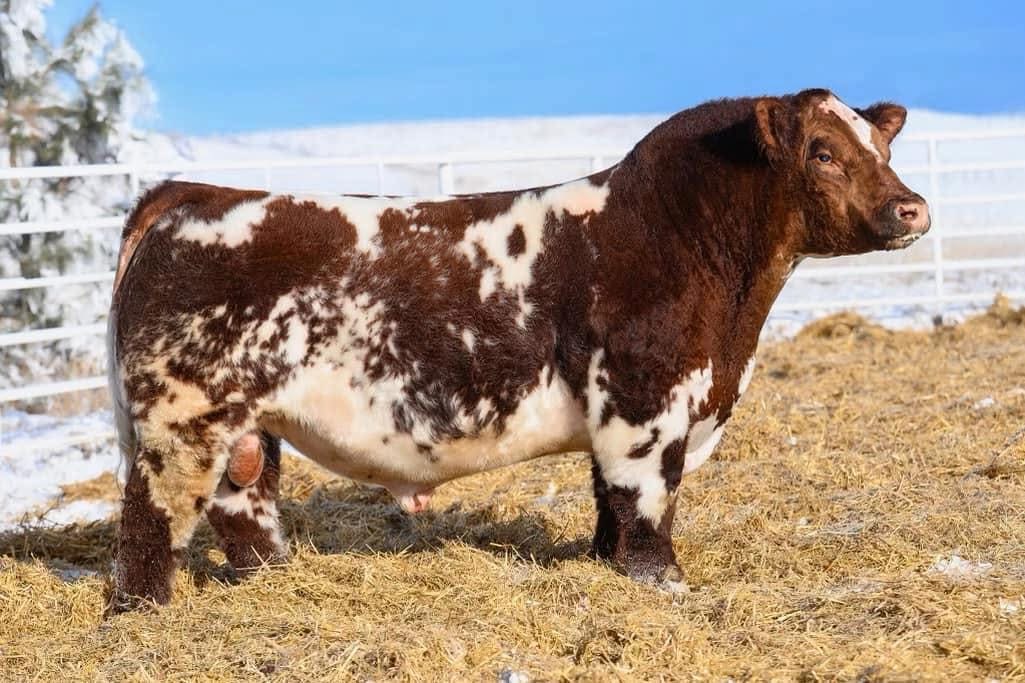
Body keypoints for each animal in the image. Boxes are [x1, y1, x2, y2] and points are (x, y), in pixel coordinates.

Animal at [107, 88, 930, 611]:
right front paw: (663, 584)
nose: (911, 207)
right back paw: (148, 613)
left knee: (241, 501)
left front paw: (605, 566)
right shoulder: (645, 405)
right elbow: (646, 502)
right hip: (177, 415)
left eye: (882, 145)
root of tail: (191, 194)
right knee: (151, 520)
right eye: (822, 152)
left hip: (243, 423)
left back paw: (275, 579)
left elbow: (609, 502)